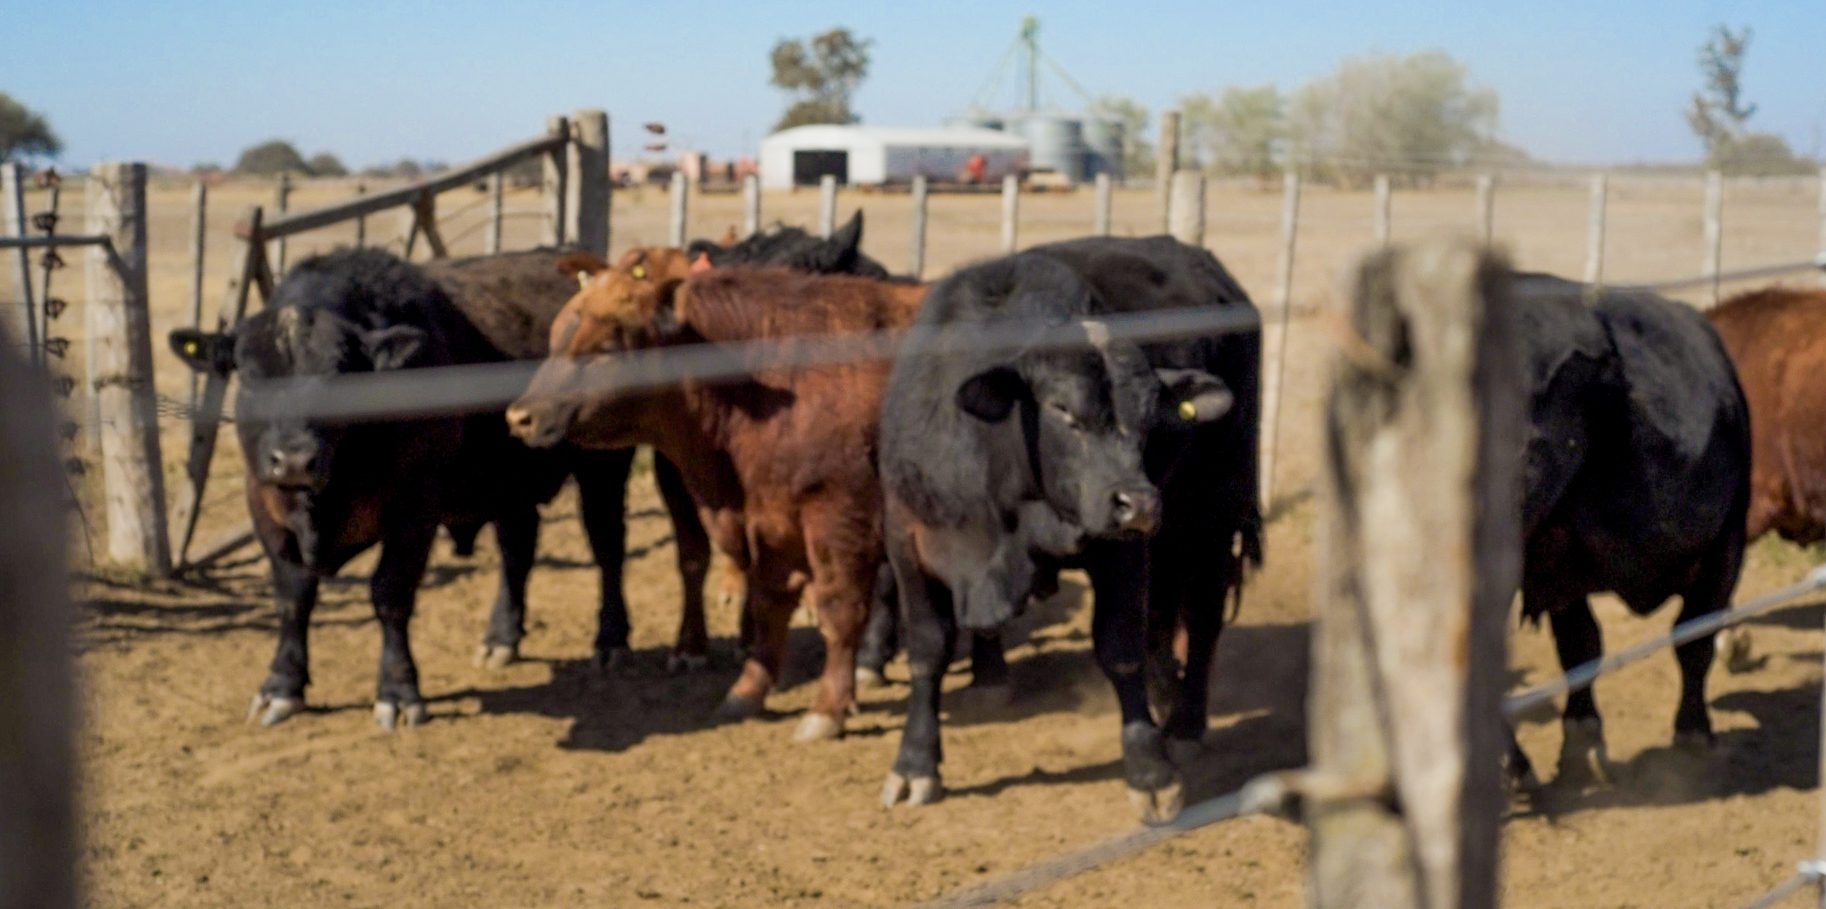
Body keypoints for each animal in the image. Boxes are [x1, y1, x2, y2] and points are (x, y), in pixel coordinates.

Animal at [169, 247, 711, 728]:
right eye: (249, 376)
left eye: (341, 376)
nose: (294, 459)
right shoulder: (265, 510)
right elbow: (292, 597)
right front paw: (282, 686)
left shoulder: (414, 512)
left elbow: (390, 594)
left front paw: (398, 691)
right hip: (508, 481)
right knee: (518, 548)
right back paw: (502, 636)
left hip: (602, 468)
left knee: (606, 546)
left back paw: (611, 639)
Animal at [506, 252, 929, 741]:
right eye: (555, 338)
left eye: (607, 347)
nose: (520, 417)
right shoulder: (767, 520)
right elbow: (767, 606)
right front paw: (748, 691)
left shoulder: (839, 515)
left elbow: (840, 609)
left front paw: (827, 709)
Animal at [878, 236, 1263, 822]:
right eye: (1062, 410)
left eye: (1150, 419)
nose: (1139, 503)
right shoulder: (908, 542)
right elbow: (928, 649)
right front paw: (915, 763)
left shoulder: (1119, 550)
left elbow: (1120, 648)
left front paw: (1149, 770)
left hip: (1211, 514)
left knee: (1201, 617)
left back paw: (1185, 723)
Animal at [1508, 275, 1749, 787]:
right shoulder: (1728, 546)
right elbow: (1693, 640)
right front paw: (1695, 735)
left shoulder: (1560, 564)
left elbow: (1583, 647)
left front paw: (1582, 737)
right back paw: (1514, 770)